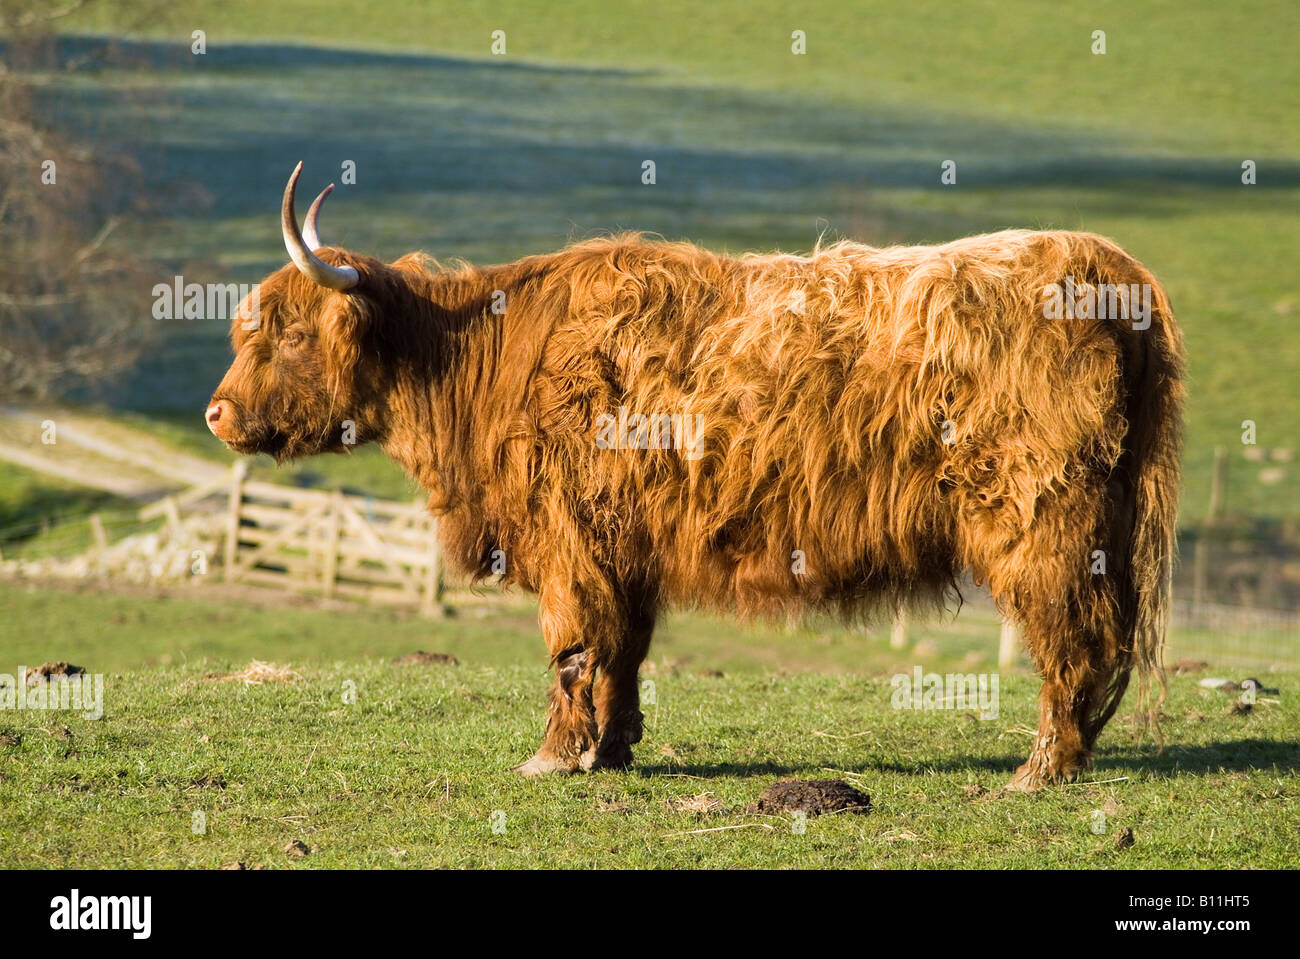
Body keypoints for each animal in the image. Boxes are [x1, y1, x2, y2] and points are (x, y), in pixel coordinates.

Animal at [206, 163, 1184, 790]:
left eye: (289, 333)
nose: (215, 414)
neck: (481, 362)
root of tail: (1111, 269)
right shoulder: (622, 544)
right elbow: (624, 651)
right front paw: (613, 750)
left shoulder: (569, 540)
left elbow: (572, 647)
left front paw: (553, 756)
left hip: (1042, 520)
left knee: (1072, 637)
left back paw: (1039, 769)